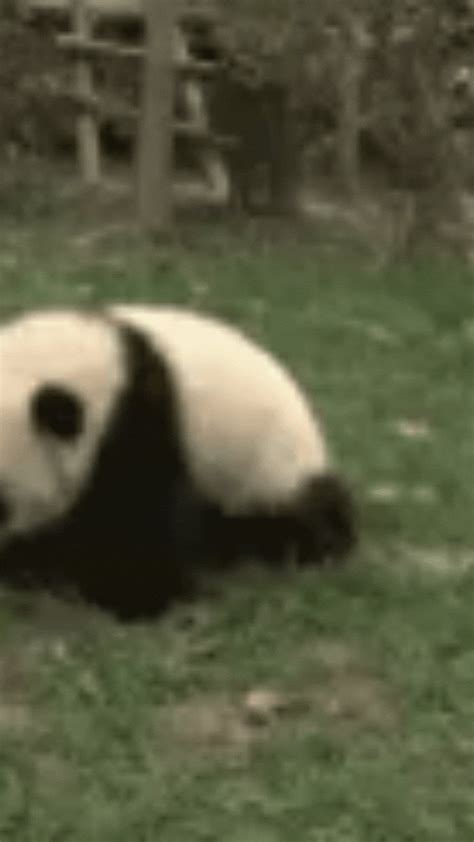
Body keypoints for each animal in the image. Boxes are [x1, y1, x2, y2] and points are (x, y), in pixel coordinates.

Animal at [0, 305, 356, 619]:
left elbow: (139, 520)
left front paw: (138, 598)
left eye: (3, 503)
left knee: (296, 523)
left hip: (268, 471)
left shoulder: (138, 422)